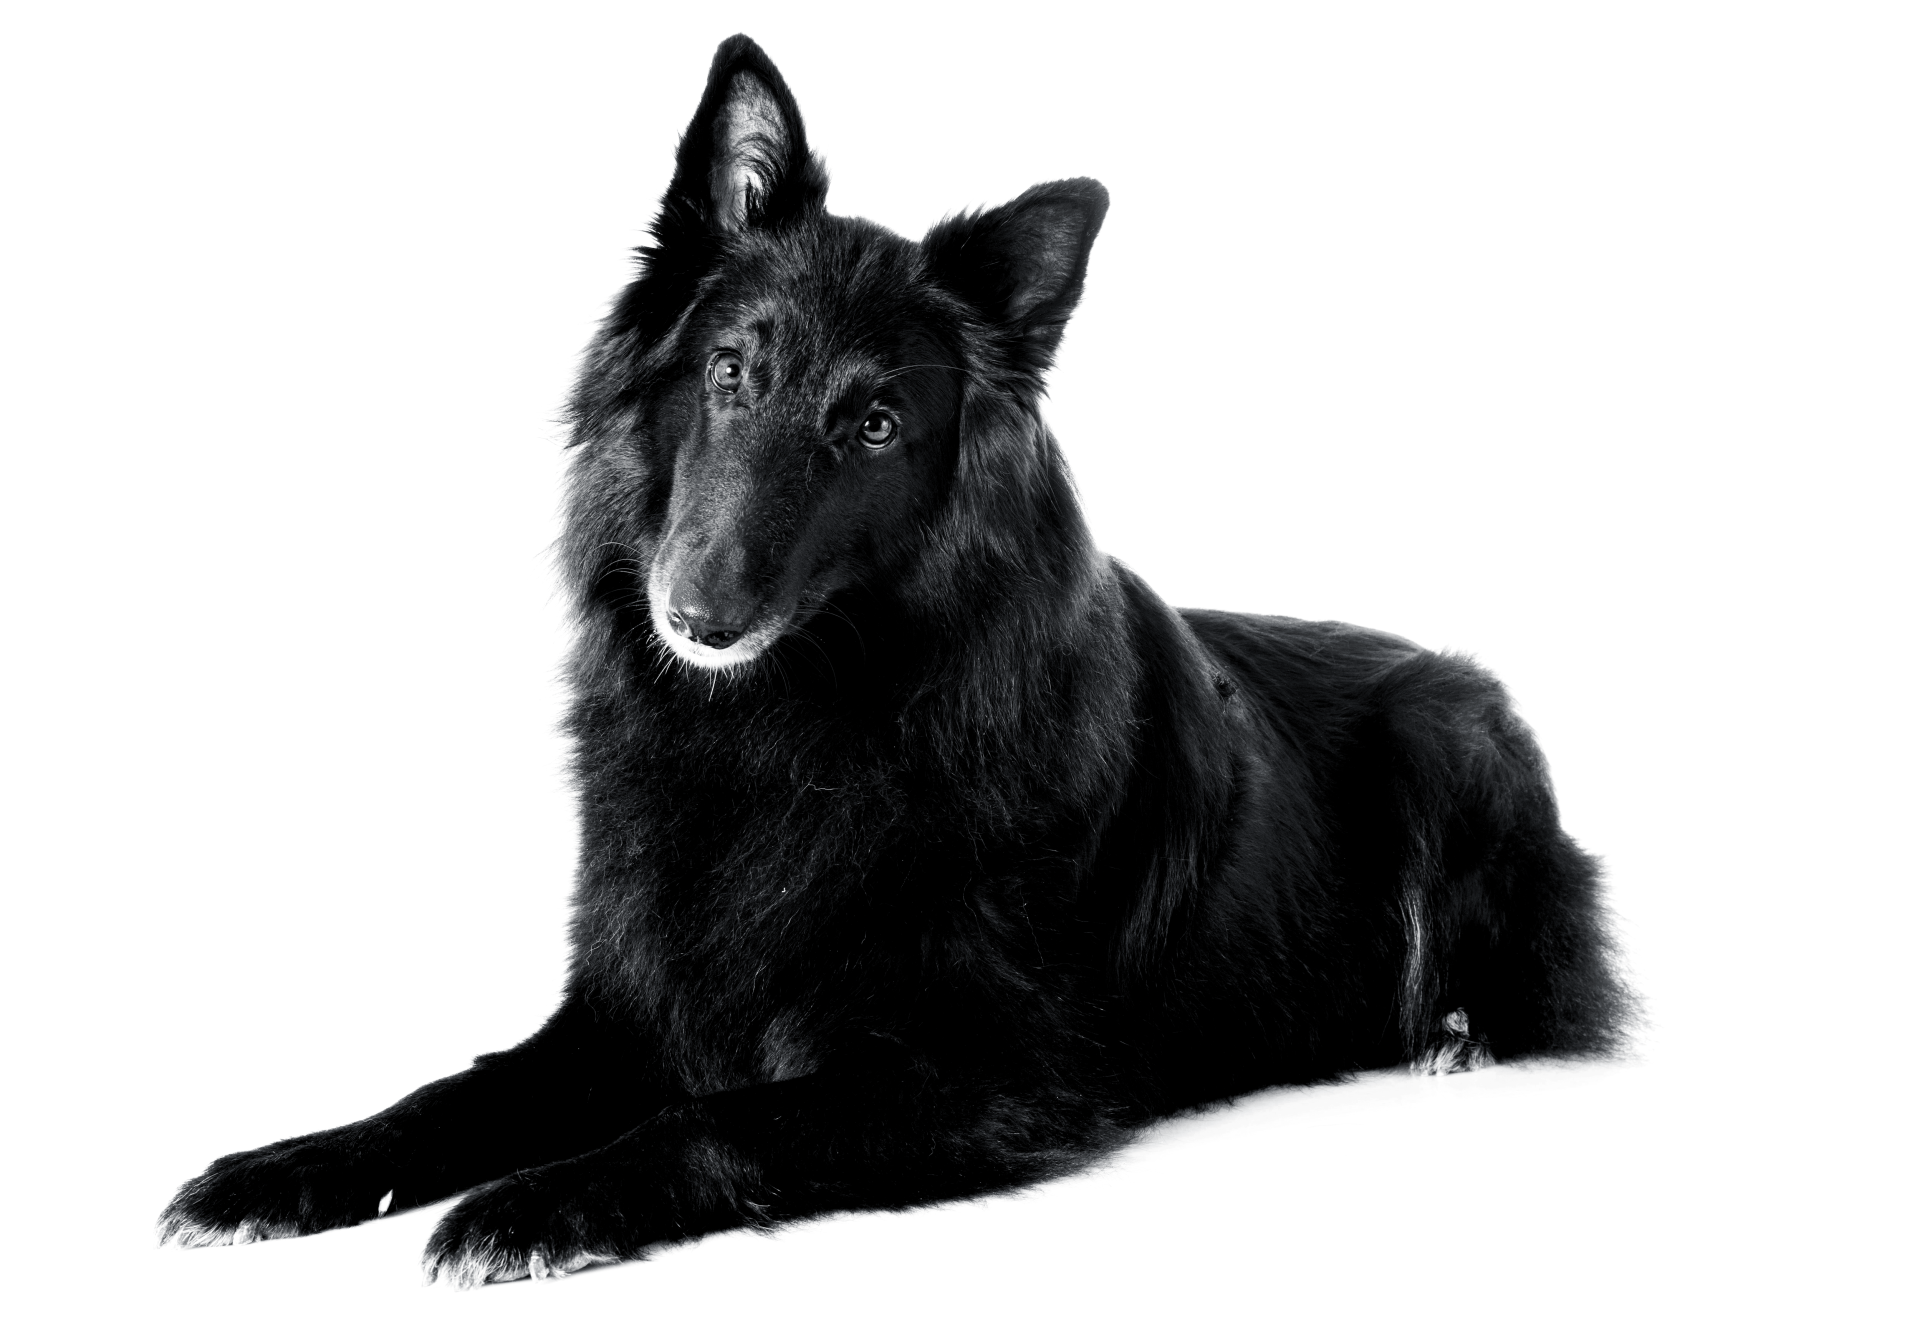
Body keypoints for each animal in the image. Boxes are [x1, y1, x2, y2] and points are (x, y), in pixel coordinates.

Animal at [157, 35, 1628, 1281]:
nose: (697, 616)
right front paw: (284, 1170)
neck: (787, 723)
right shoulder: (619, 1008)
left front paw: (533, 1202)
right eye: (731, 374)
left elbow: (719, 1121)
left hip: (1452, 735)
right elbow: (448, 1094)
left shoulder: (986, 1076)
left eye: (874, 425)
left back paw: (1458, 1036)